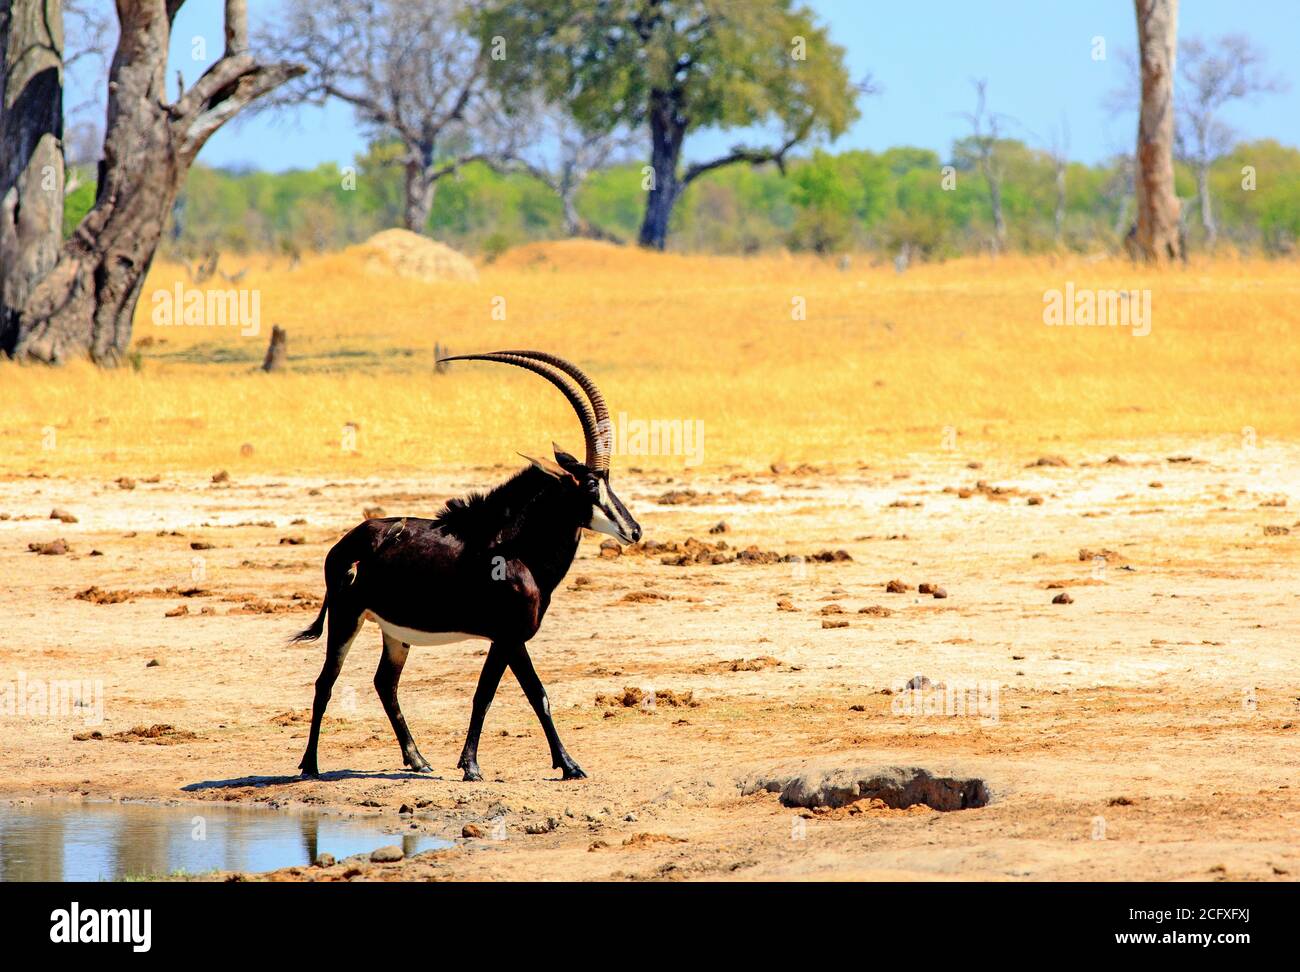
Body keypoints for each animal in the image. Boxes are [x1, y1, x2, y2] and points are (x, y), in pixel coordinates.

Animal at [292, 350, 641, 781]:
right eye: (591, 485)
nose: (634, 531)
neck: (515, 548)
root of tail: (346, 543)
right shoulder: (509, 637)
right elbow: (513, 695)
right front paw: (483, 766)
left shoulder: (505, 639)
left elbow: (514, 696)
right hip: (346, 618)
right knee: (325, 683)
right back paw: (310, 766)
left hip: (394, 632)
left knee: (385, 683)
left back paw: (418, 760)